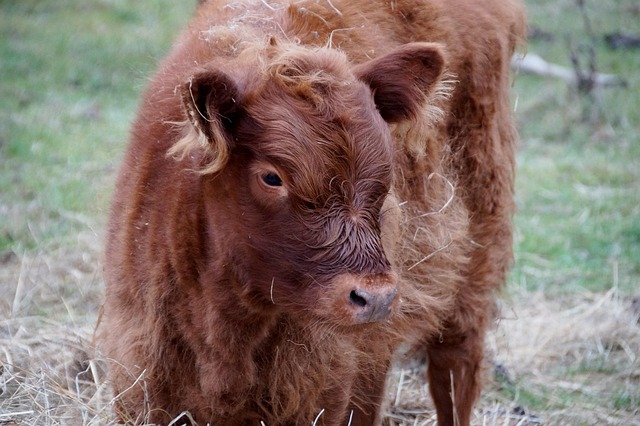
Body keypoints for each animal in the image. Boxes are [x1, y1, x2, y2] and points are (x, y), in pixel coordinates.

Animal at [99, 0, 526, 424]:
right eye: (272, 177)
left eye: (387, 171)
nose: (375, 297)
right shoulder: (141, 385)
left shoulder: (321, 391)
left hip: (477, 258)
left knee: (455, 370)